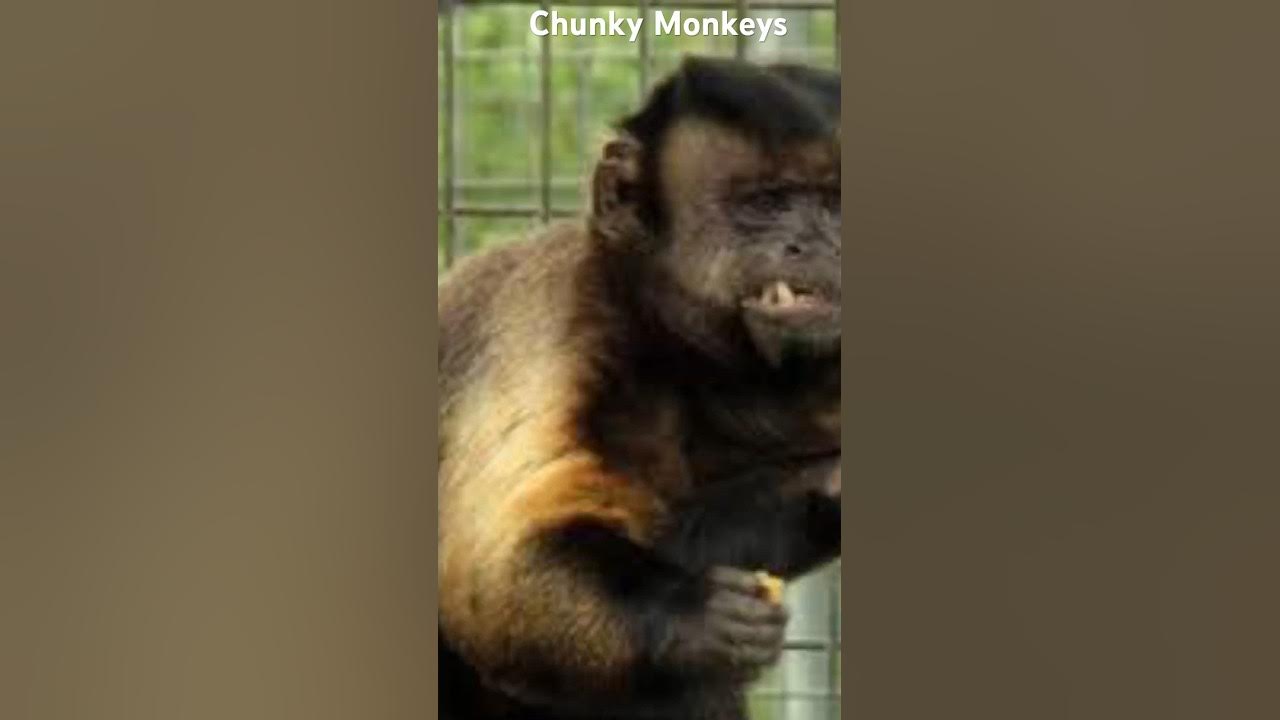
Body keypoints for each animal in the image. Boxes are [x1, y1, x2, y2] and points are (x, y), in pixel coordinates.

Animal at [438, 56, 840, 720]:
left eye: (834, 205)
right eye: (767, 203)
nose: (817, 244)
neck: (673, 351)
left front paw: (831, 488)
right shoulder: (564, 329)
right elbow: (494, 561)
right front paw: (696, 617)